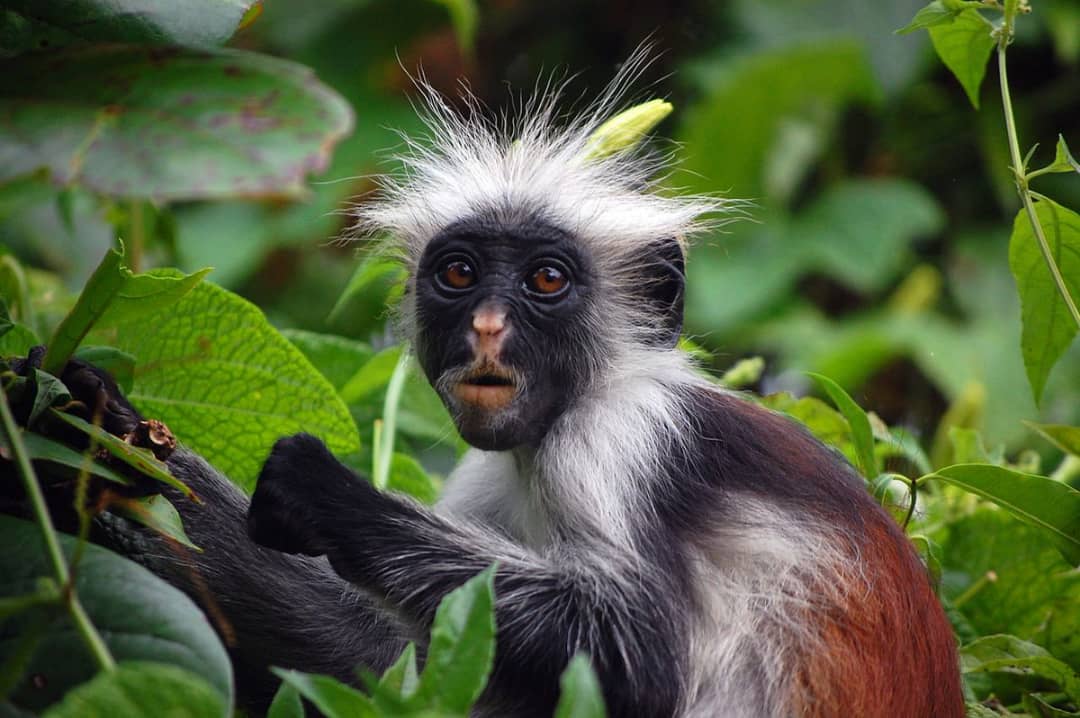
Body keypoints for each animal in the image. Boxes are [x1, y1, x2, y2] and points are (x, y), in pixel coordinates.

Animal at [25, 59, 964, 718]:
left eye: (546, 279)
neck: (570, 409)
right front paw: (89, 442)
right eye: (460, 273)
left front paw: (322, 492)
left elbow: (640, 655)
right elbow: (383, 661)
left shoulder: (625, 437)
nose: (484, 327)